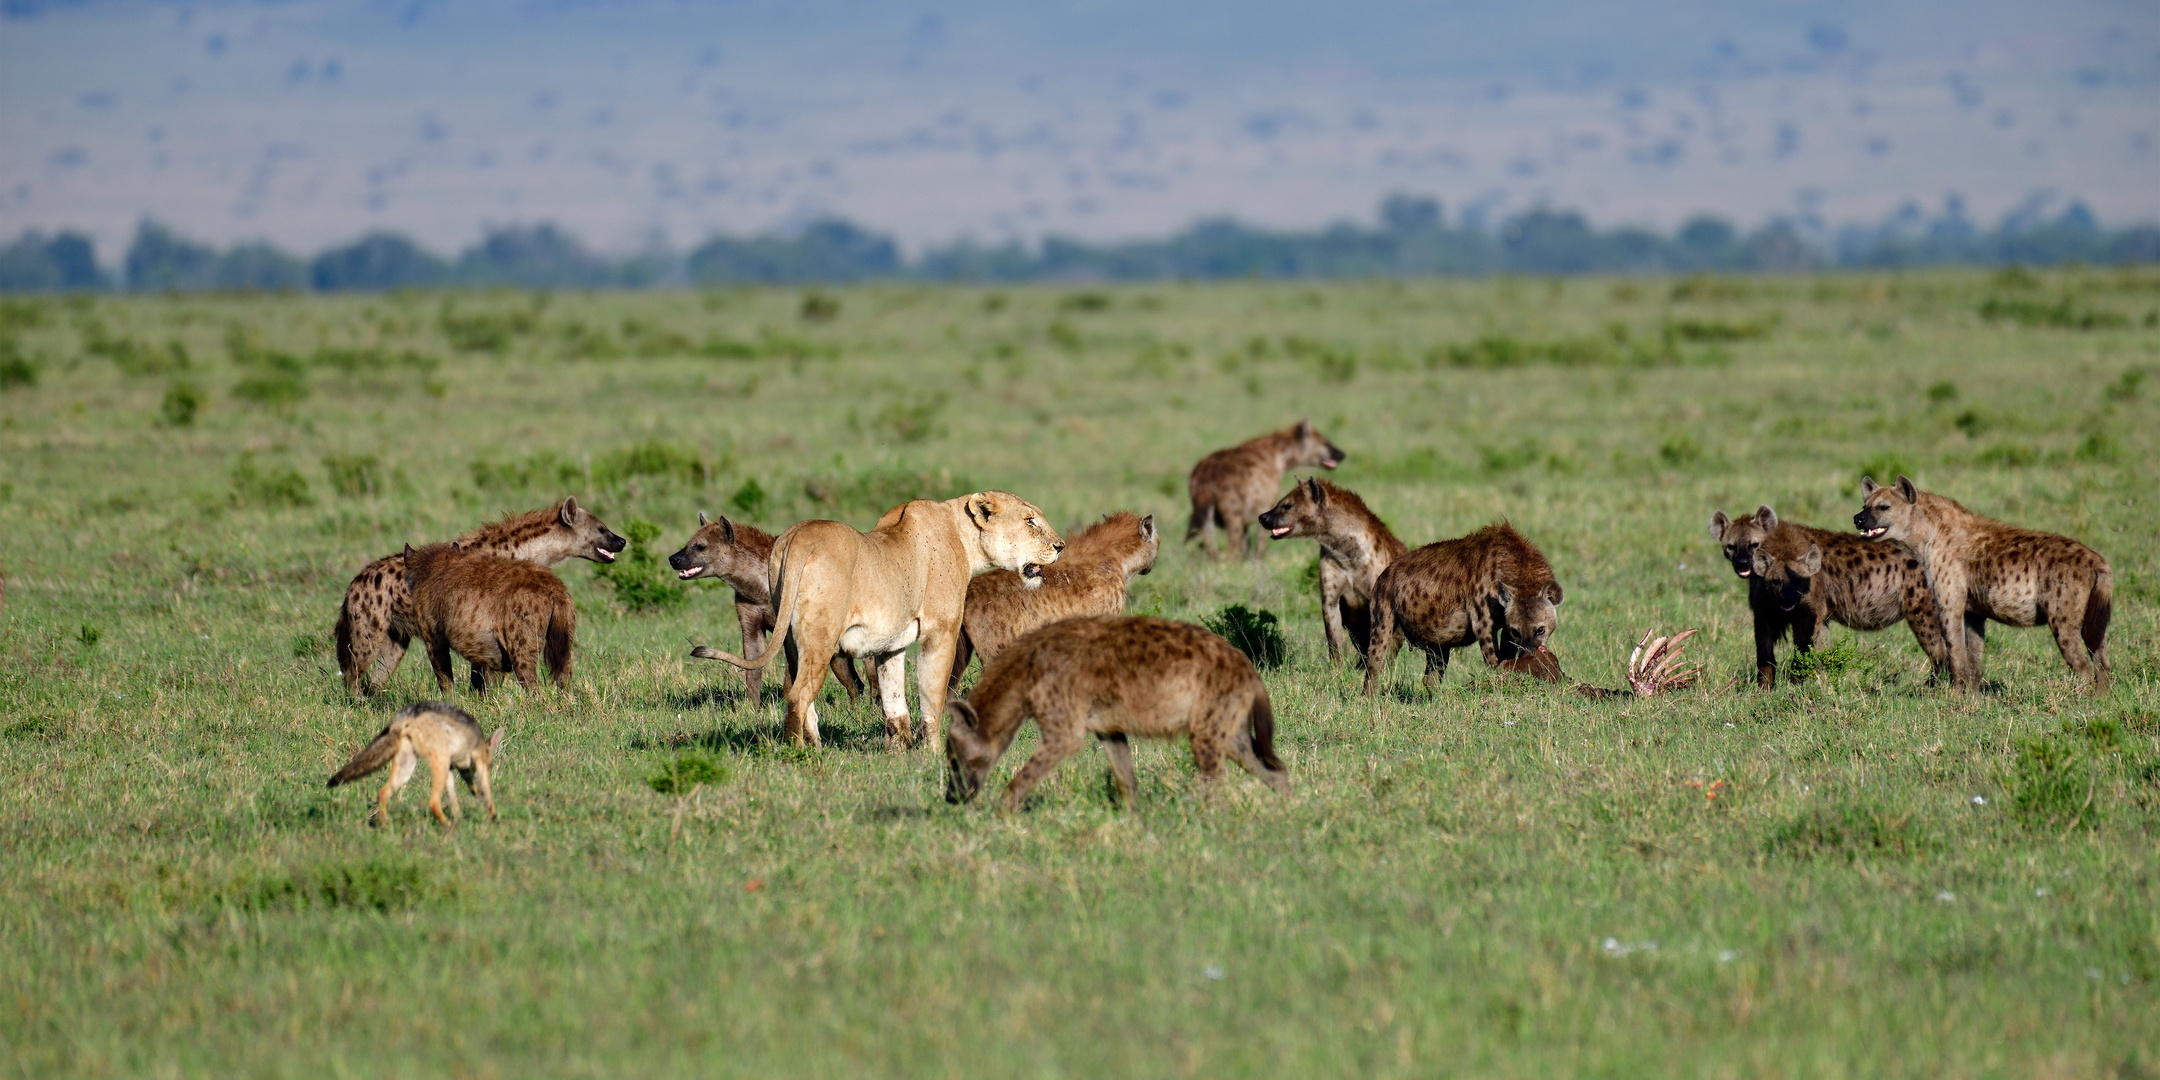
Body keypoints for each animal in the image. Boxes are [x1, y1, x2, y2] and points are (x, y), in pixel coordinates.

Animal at [691, 491, 1064, 749]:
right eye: (1029, 521)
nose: (1060, 546)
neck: (963, 537)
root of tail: (798, 538)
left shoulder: (890, 645)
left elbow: (895, 703)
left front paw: (900, 752)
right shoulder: (940, 631)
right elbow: (933, 697)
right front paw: (932, 754)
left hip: (791, 640)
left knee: (798, 693)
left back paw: (817, 748)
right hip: (821, 638)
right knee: (797, 695)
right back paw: (799, 756)